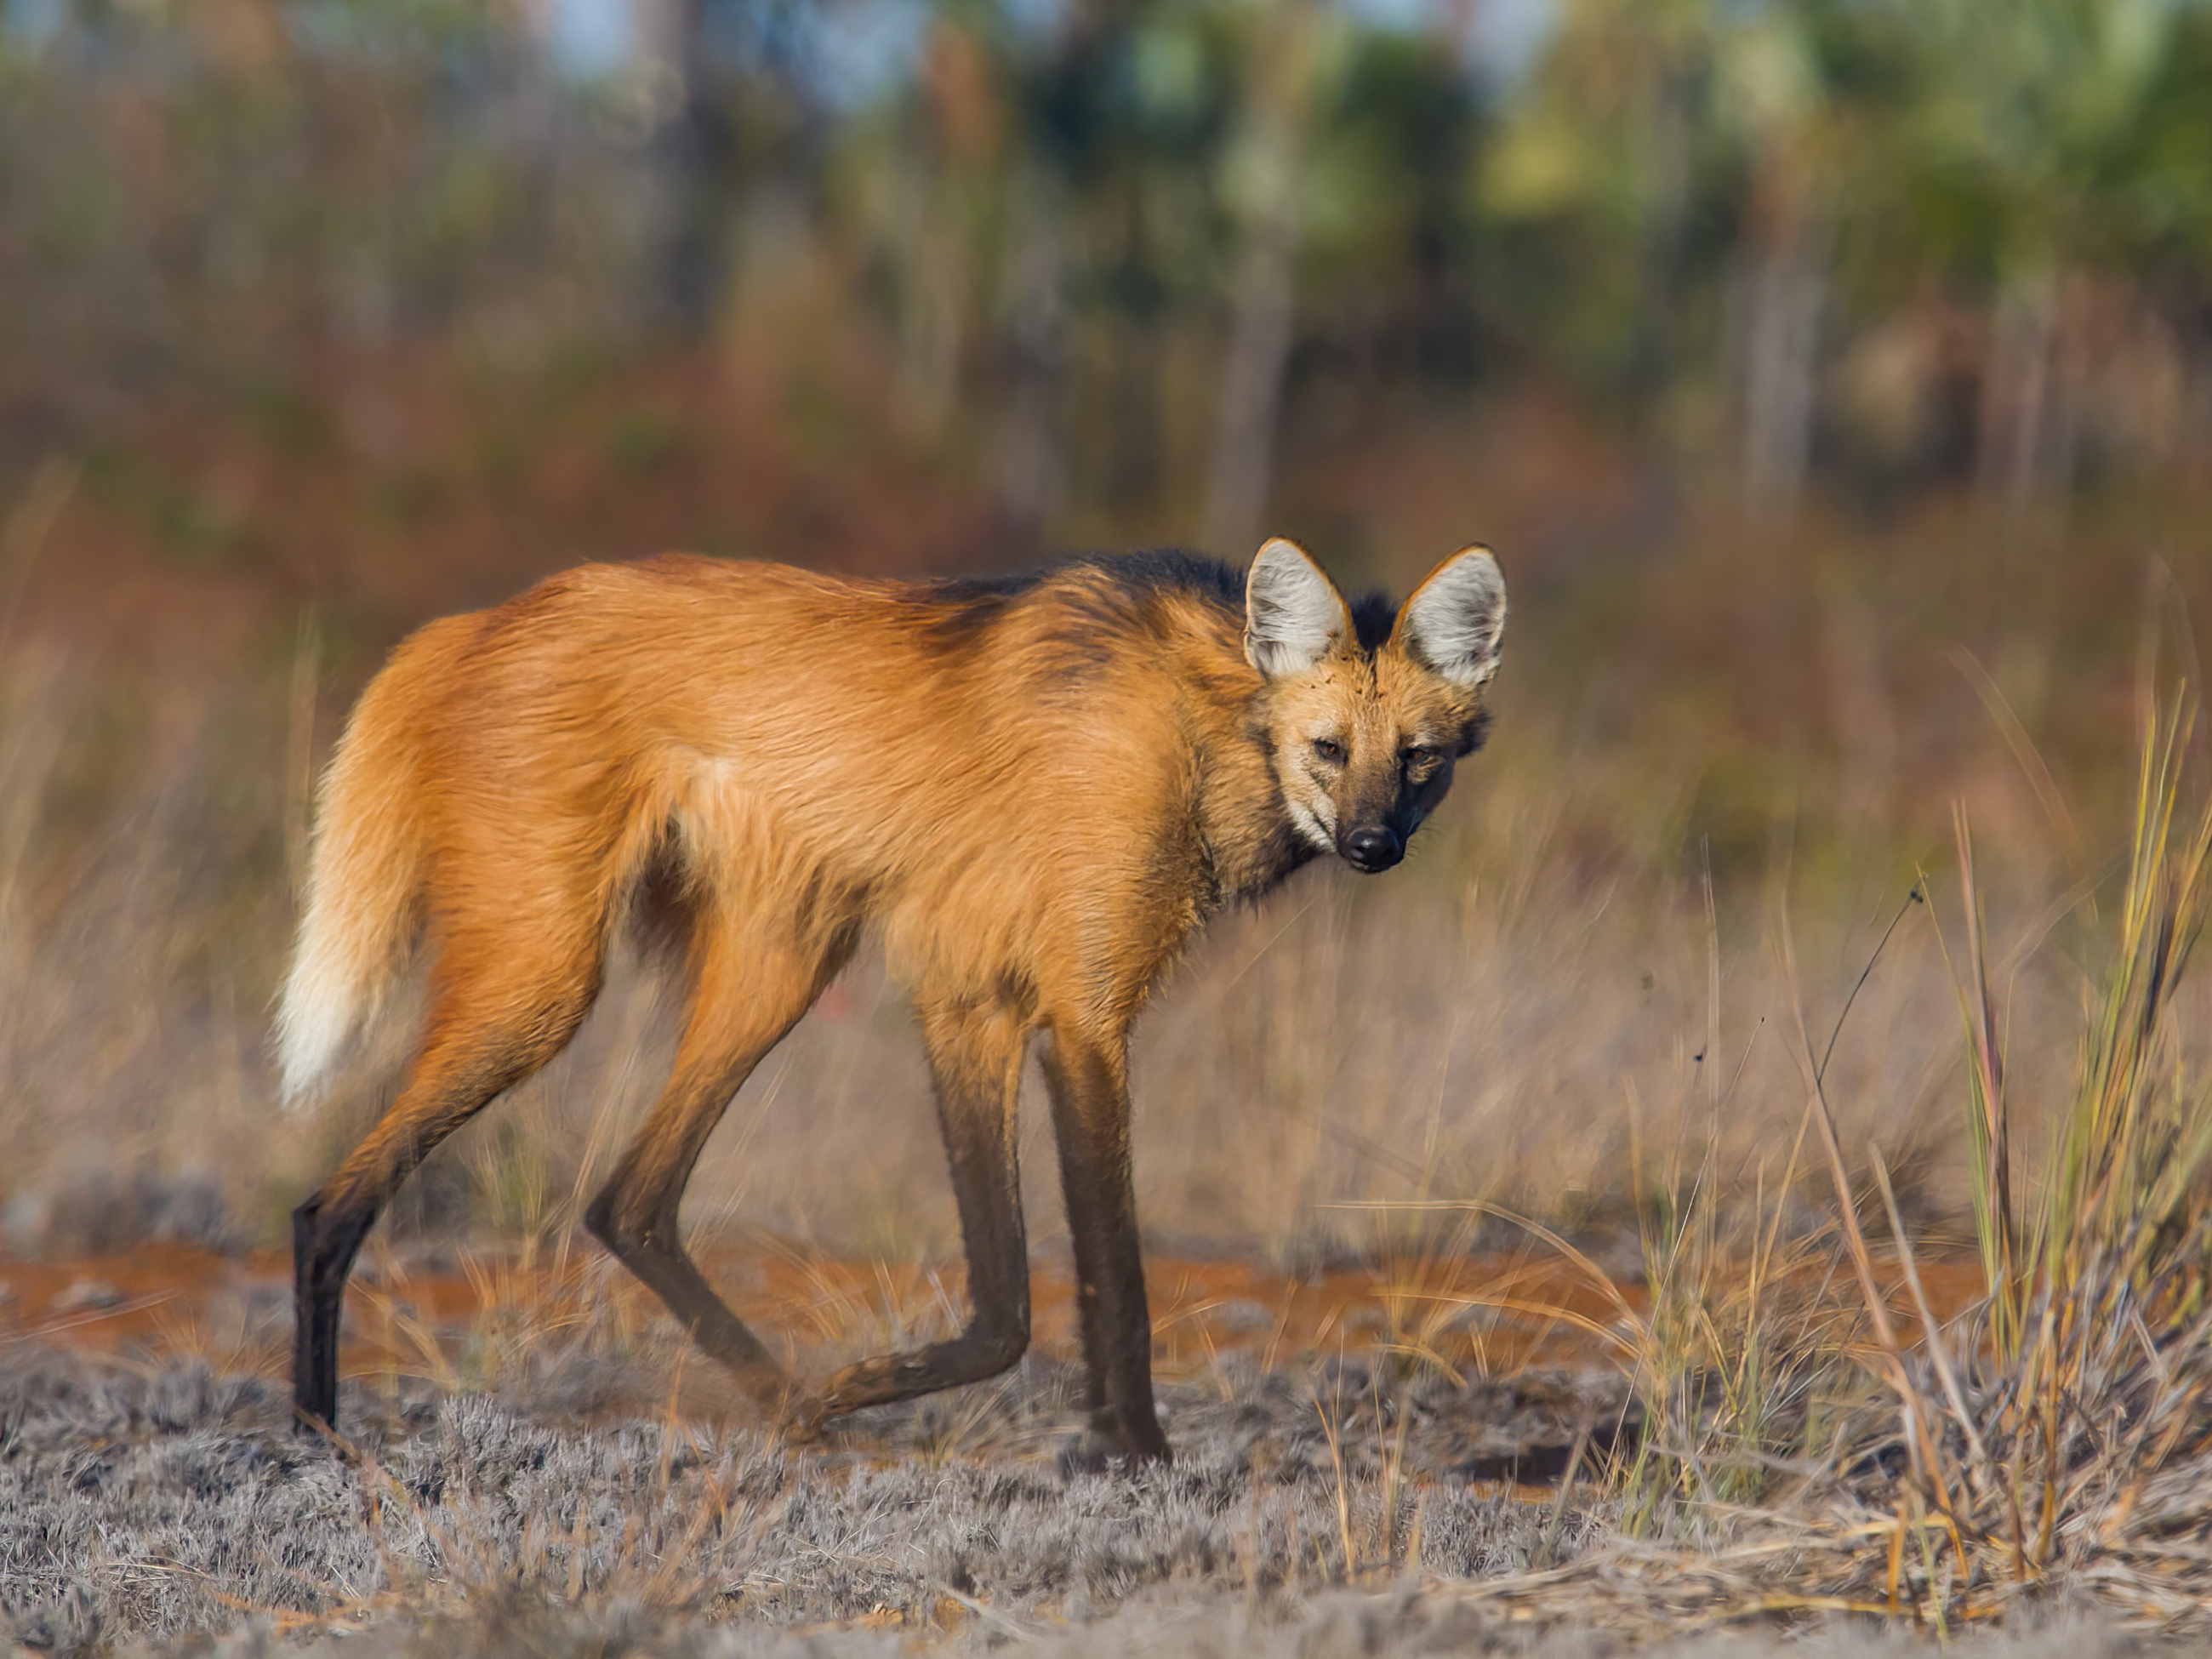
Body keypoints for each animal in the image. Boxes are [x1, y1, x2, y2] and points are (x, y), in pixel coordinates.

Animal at [278, 536, 1505, 1459]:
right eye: (1328, 749)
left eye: (1418, 758)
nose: (1373, 846)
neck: (1201, 733)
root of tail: (474, 621)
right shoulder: (1076, 1020)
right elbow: (1100, 1284)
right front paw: (1141, 1459)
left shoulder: (980, 1004)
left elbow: (1015, 1300)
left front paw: (860, 1396)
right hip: (544, 986)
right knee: (329, 1207)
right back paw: (314, 1443)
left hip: (779, 966)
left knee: (628, 1200)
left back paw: (784, 1407)